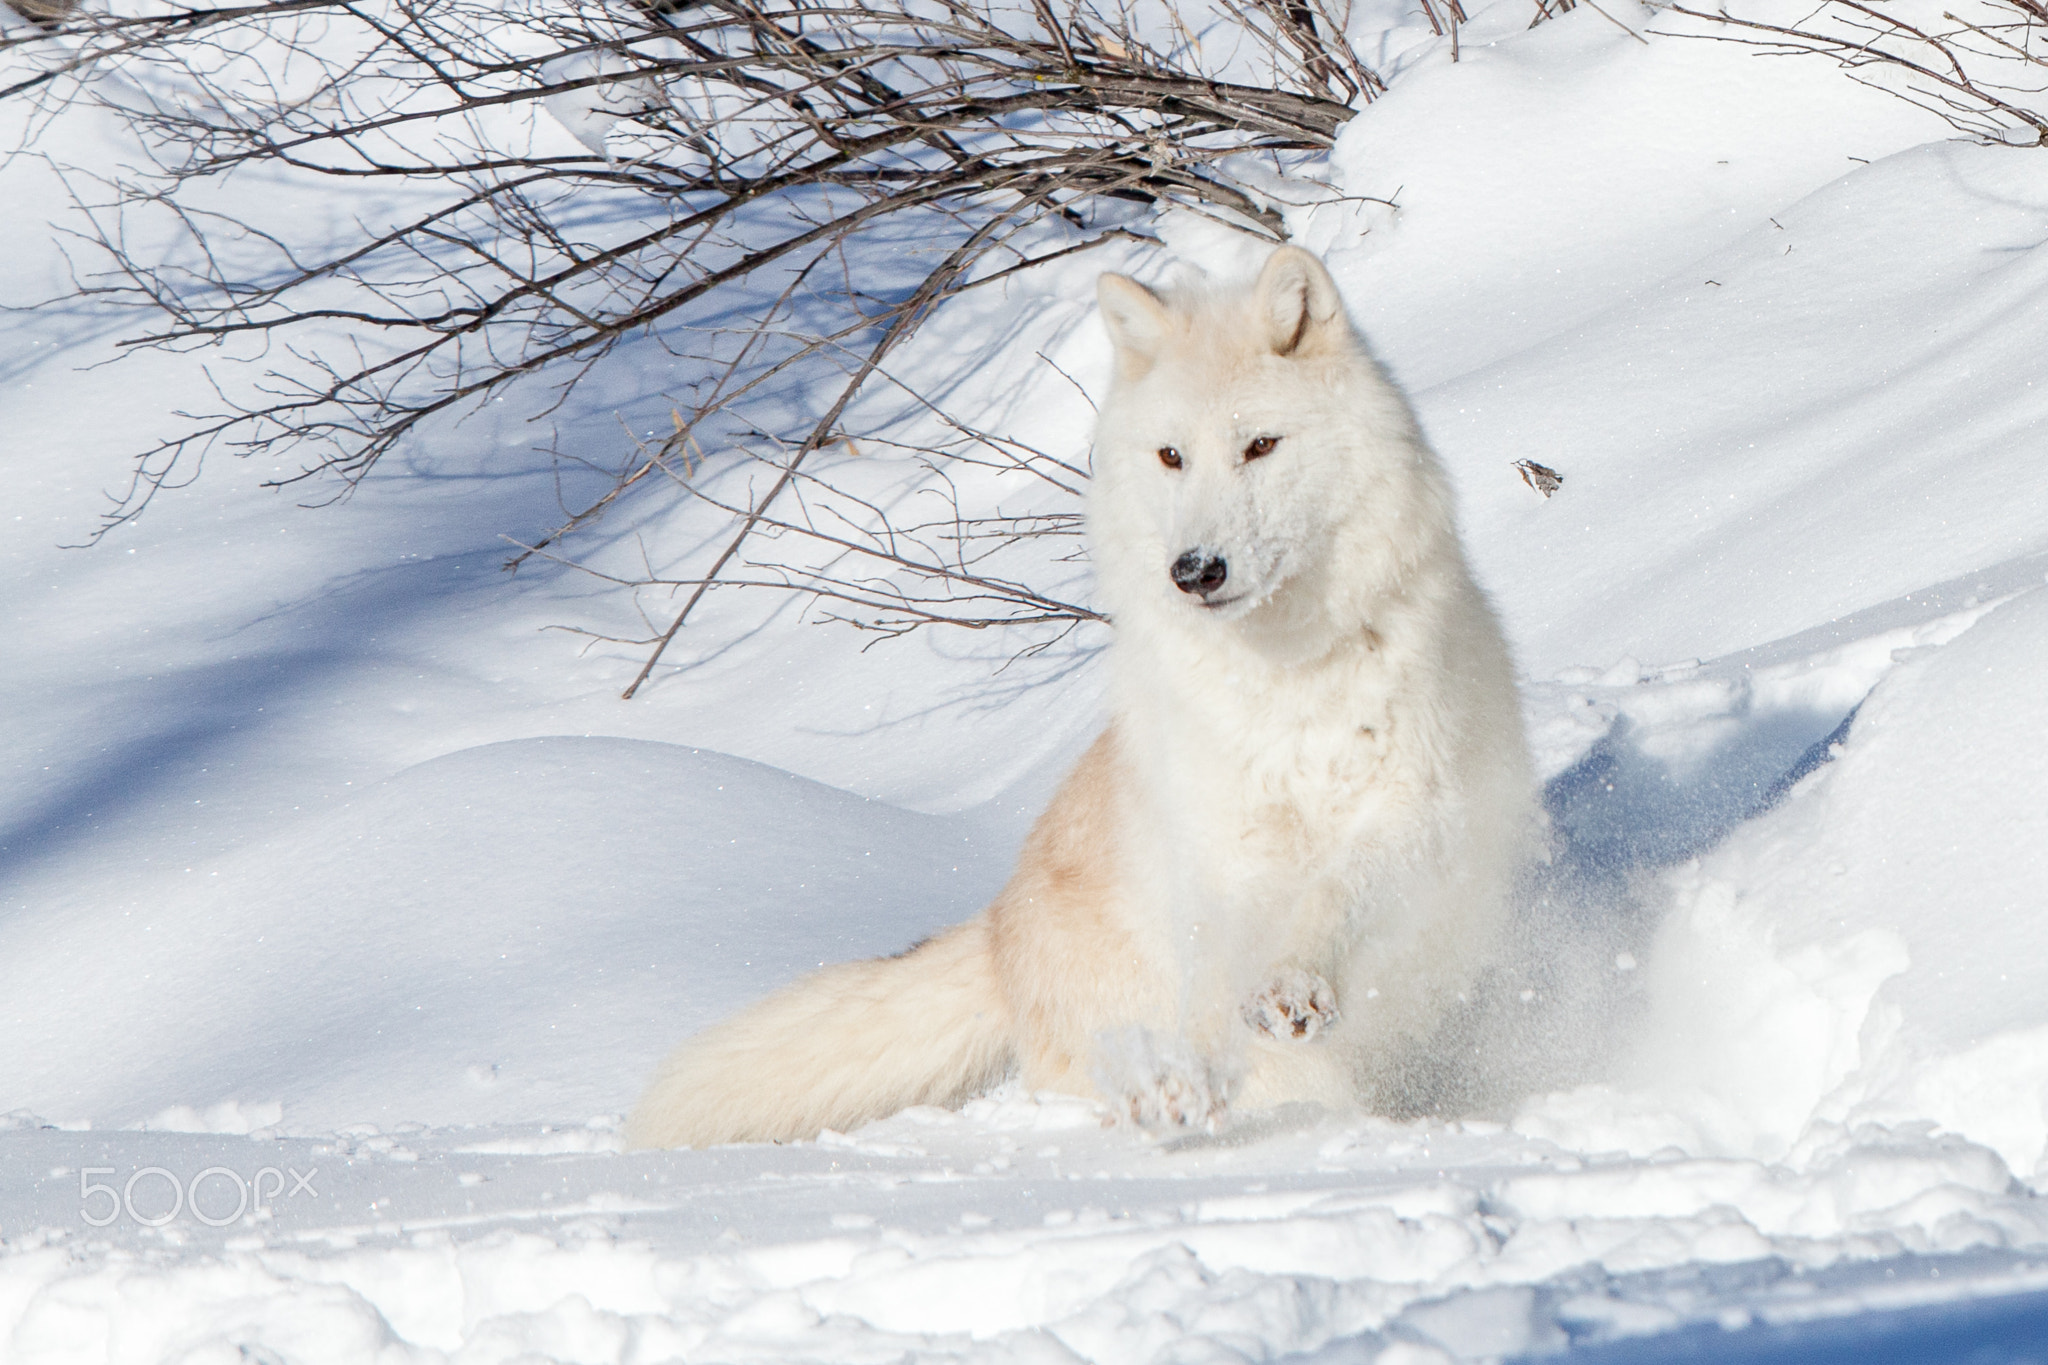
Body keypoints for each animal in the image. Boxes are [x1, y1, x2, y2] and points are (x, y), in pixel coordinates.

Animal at [626, 248, 1540, 1154]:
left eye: (1260, 446)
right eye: (1171, 456)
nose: (1194, 570)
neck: (1286, 677)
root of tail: (997, 929)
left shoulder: (1408, 816)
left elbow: (1331, 900)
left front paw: (1294, 985)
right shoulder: (1227, 851)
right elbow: (1244, 959)